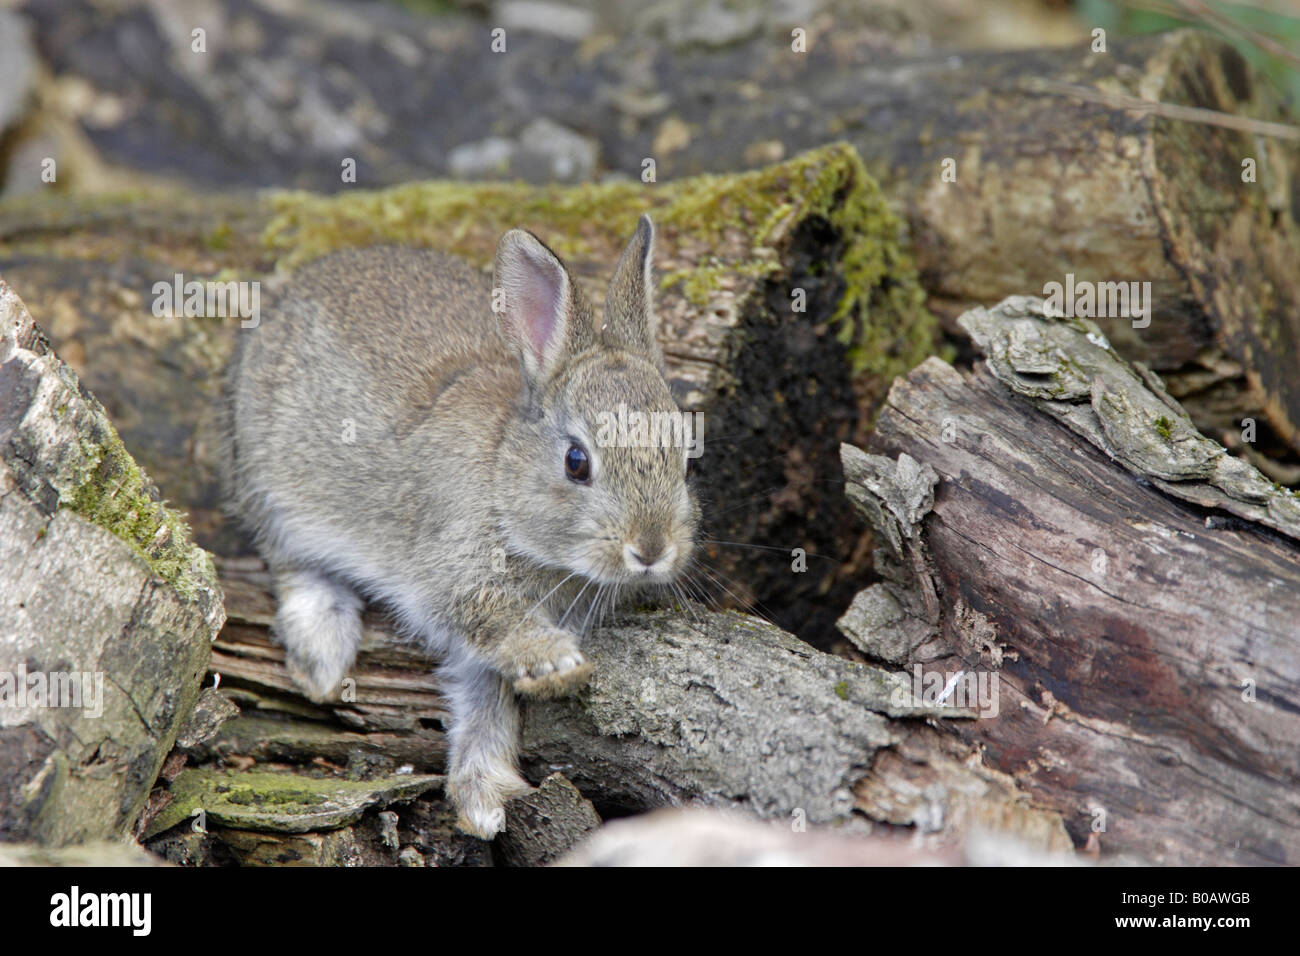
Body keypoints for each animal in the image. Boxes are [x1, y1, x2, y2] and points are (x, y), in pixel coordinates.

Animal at [222, 215, 700, 838]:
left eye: (685, 457)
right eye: (577, 462)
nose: (651, 548)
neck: (503, 479)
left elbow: (486, 700)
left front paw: (484, 800)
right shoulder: (452, 577)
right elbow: (490, 627)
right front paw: (557, 663)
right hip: (272, 481)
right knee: (292, 562)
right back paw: (323, 656)